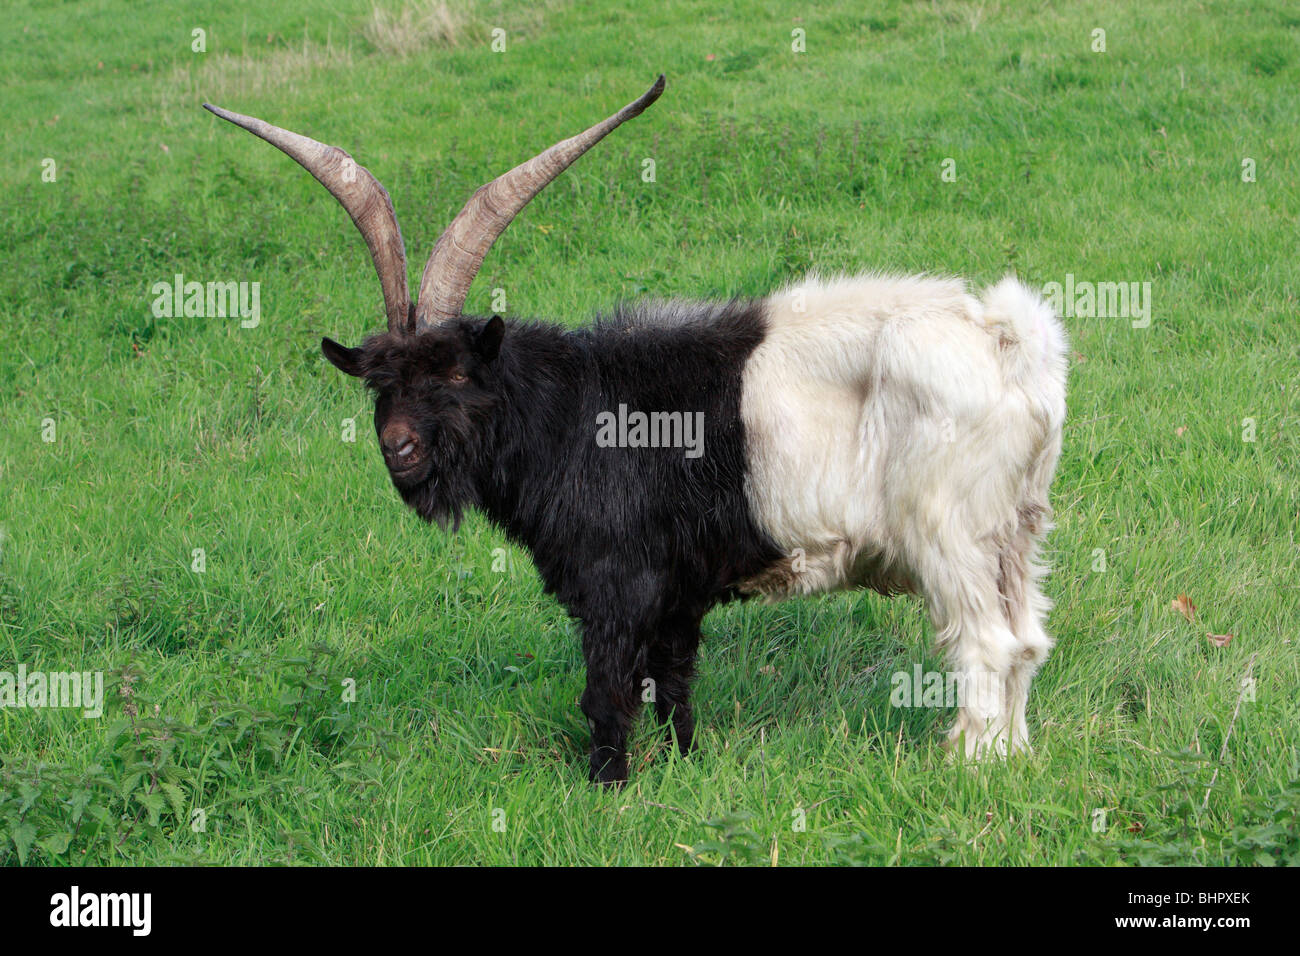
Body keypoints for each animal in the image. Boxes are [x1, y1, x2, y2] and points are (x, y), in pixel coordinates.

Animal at [208, 76, 1066, 785]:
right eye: (379, 383)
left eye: (454, 375)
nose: (401, 448)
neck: (566, 411)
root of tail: (1009, 340)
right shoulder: (678, 588)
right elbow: (673, 683)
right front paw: (683, 766)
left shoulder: (615, 579)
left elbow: (608, 689)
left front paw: (607, 787)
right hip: (1017, 528)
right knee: (1027, 640)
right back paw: (1017, 757)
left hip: (949, 532)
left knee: (985, 644)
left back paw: (967, 765)